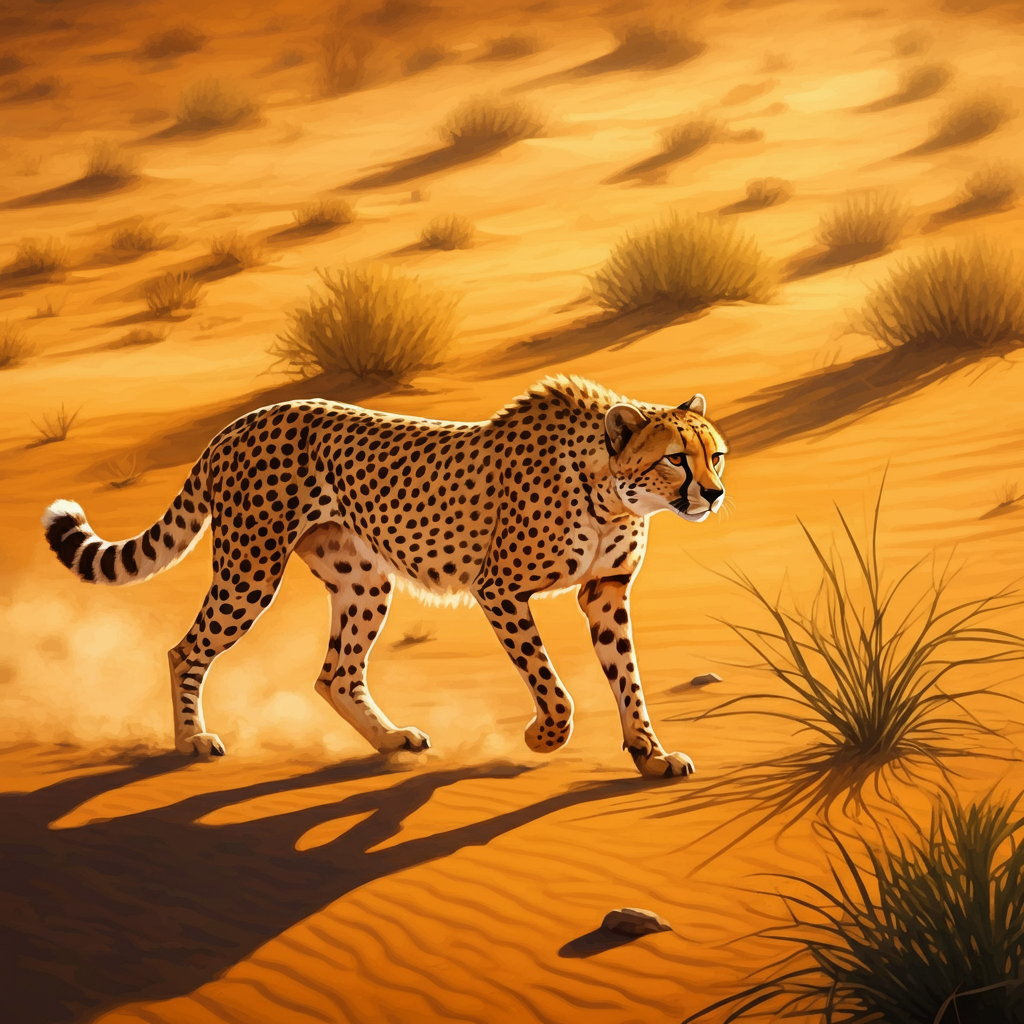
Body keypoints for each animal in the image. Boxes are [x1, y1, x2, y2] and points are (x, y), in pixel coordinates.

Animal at [42, 375, 727, 778]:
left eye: (714, 454)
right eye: (675, 458)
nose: (715, 493)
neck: (611, 491)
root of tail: (242, 419)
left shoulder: (605, 591)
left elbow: (628, 680)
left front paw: (651, 755)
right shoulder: (500, 590)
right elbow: (552, 683)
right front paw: (544, 736)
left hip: (363, 580)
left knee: (335, 674)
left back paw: (391, 740)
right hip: (251, 567)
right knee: (186, 649)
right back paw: (191, 741)